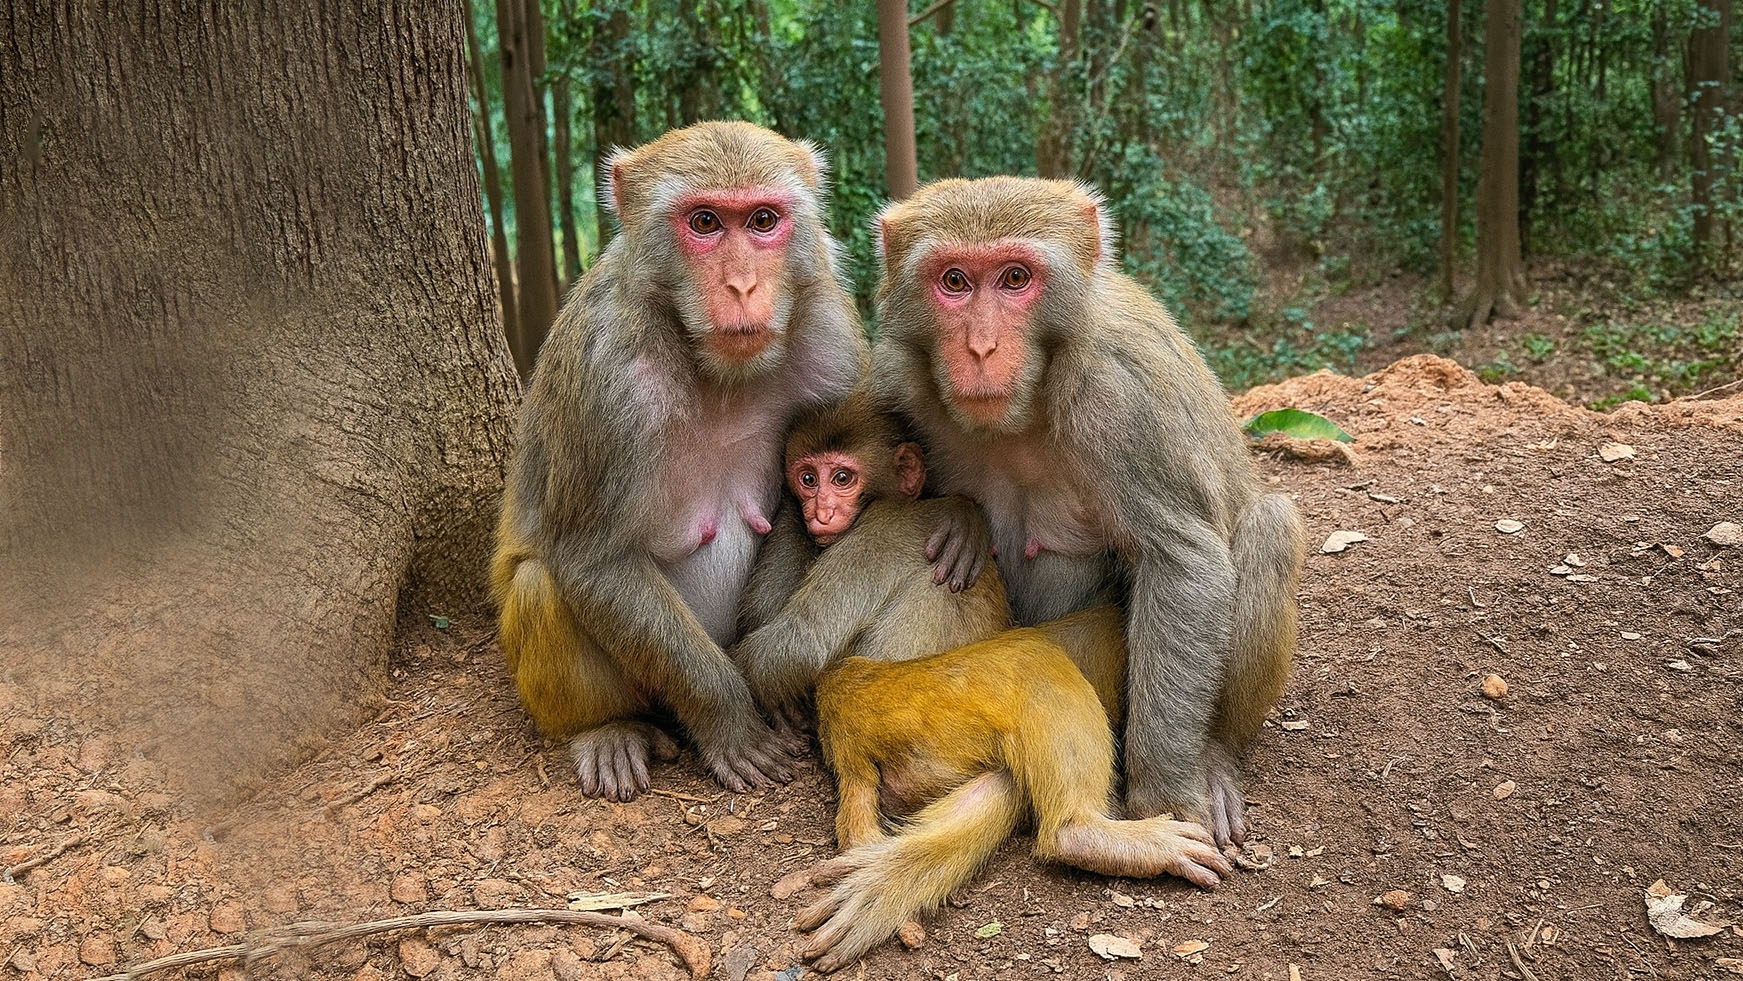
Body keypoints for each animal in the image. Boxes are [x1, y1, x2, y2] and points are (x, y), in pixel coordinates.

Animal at [491, 122, 869, 802]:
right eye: (705, 222)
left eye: (763, 220)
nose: (742, 287)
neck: (714, 369)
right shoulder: (606, 370)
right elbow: (594, 559)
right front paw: (730, 720)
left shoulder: (831, 339)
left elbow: (806, 508)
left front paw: (768, 678)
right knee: (538, 584)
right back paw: (606, 729)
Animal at [731, 396, 1231, 972]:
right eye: (807, 477)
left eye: (841, 477)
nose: (819, 511)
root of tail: (845, 735)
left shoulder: (884, 526)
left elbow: (795, 644)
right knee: (1033, 660)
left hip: (916, 703)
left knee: (1028, 661)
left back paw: (1080, 834)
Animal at [871, 176, 1308, 848]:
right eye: (955, 281)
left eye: (1016, 278)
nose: (980, 347)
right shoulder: (893, 373)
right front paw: (960, 521)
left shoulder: (1118, 397)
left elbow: (1184, 561)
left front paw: (1164, 793)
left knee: (1271, 530)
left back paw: (1213, 753)